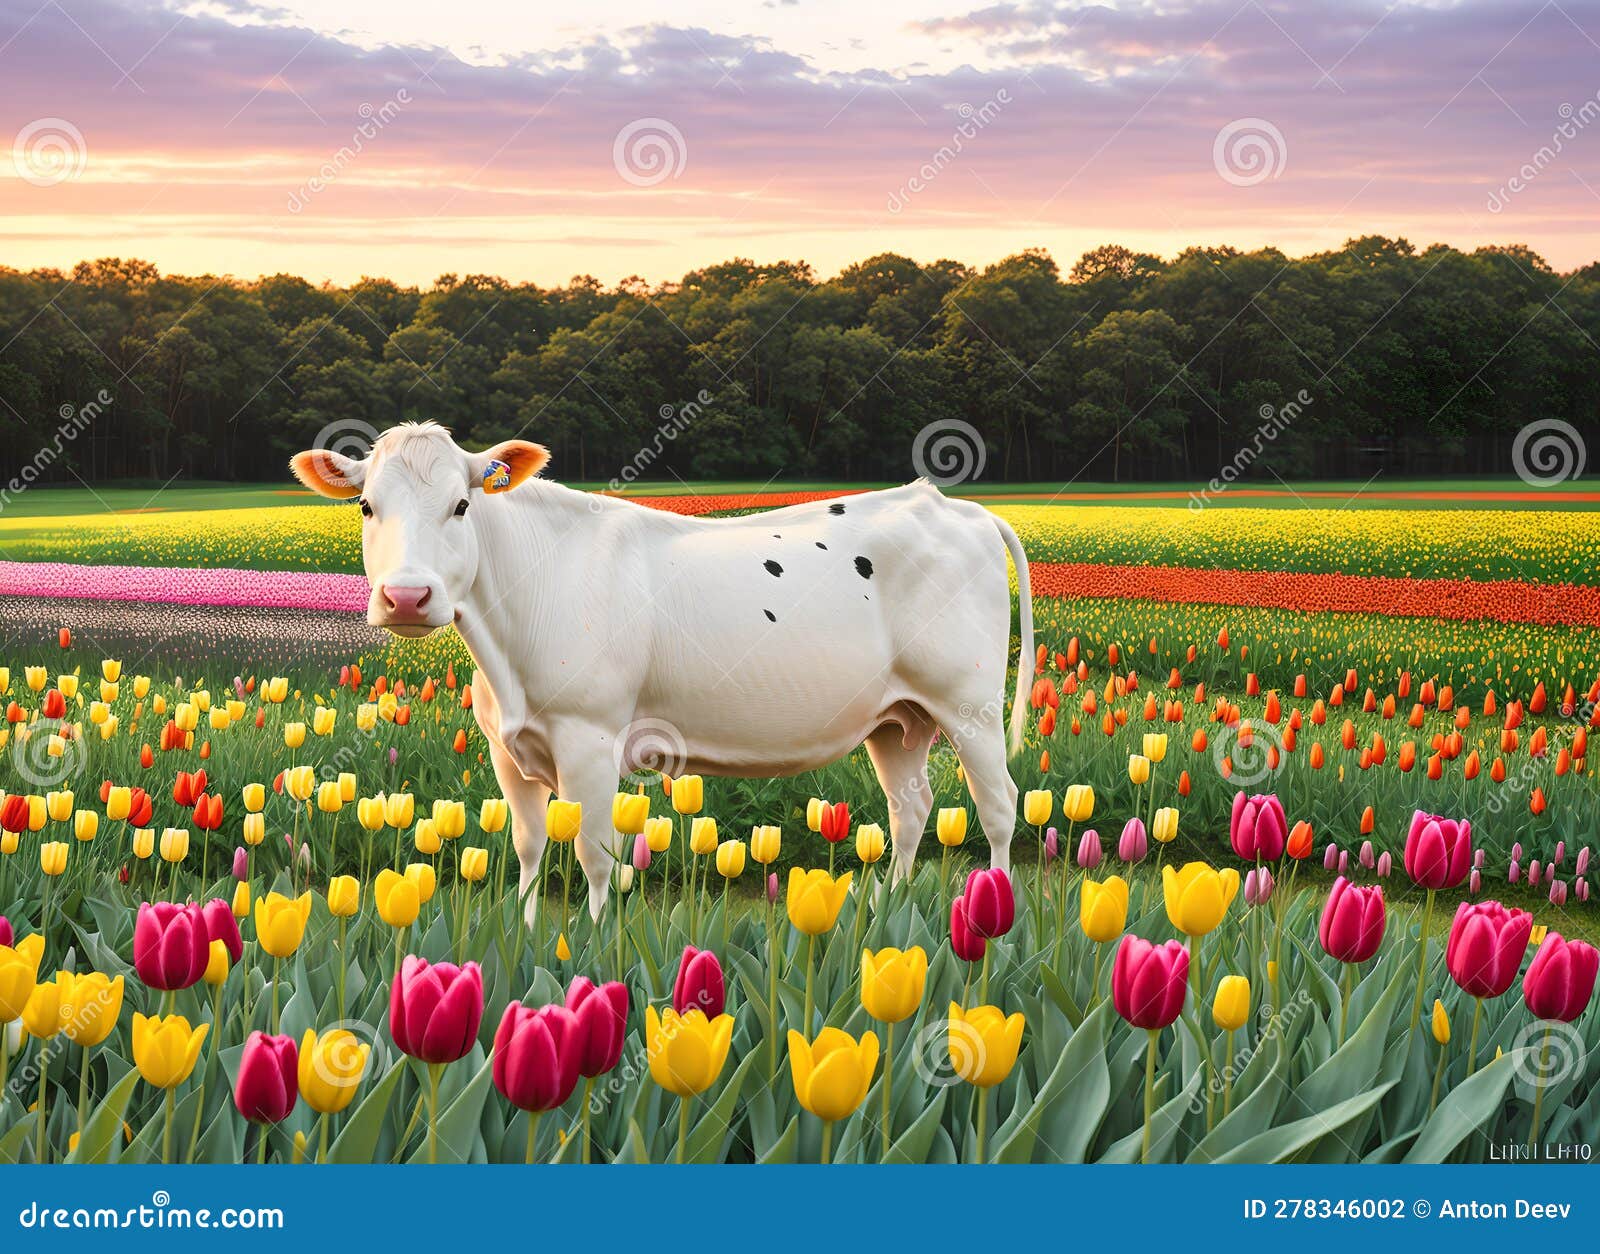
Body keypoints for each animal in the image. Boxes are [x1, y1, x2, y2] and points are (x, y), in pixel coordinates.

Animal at [291, 421, 1033, 924]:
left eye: (462, 506)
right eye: (366, 506)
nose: (407, 597)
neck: (506, 660)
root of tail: (947, 503)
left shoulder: (589, 738)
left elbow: (593, 854)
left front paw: (587, 952)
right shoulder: (507, 749)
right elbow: (529, 850)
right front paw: (525, 937)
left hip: (969, 705)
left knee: (998, 807)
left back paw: (994, 920)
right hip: (898, 718)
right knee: (910, 809)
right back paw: (888, 909)